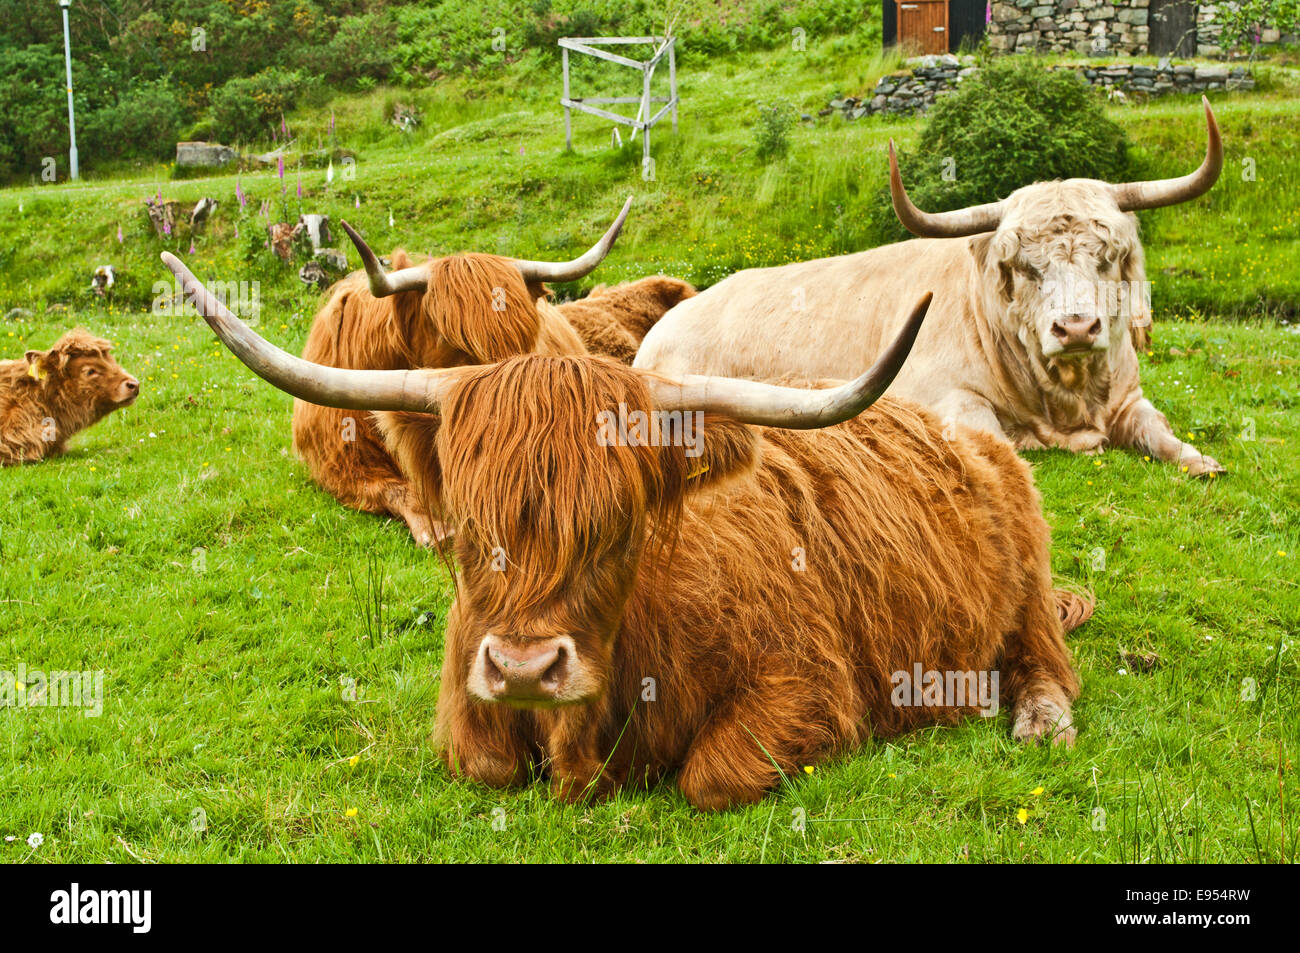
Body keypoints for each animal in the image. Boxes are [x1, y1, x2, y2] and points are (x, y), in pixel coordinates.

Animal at [165, 250, 1091, 812]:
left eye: (618, 528)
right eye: (467, 529)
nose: (524, 667)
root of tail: (961, 428)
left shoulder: (811, 684)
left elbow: (712, 776)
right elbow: (484, 761)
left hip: (1026, 580)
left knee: (1047, 662)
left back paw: (1040, 721)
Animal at [634, 98, 1226, 477]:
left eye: (1107, 258)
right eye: (1023, 267)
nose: (1076, 328)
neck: (1067, 400)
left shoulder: (1128, 397)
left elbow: (1159, 431)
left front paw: (1202, 463)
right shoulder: (947, 398)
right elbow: (995, 438)